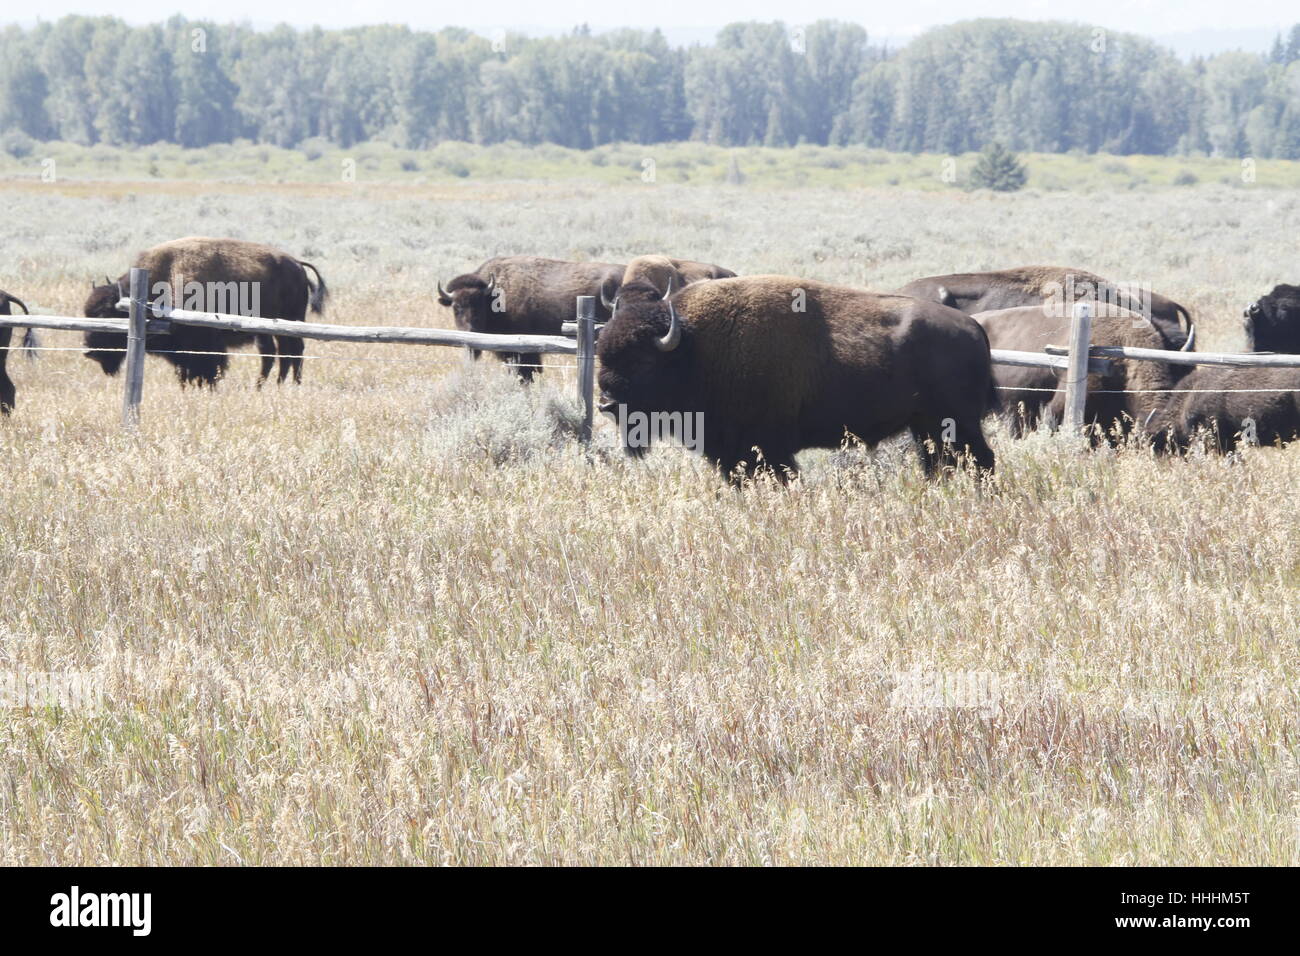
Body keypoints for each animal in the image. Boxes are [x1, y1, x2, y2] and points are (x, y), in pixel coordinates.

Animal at [83, 237, 327, 387]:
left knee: (293, 351)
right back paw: (268, 386)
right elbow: (185, 372)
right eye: (88, 314)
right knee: (277, 354)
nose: (89, 352)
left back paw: (288, 385)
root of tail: (297, 264)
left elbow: (209, 369)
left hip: (290, 321)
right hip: (268, 330)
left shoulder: (207, 345)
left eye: (107, 315)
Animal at [596, 276, 997, 482]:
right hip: (926, 425)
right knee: (938, 464)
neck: (693, 347)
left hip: (957, 422)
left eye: (643, 361)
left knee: (983, 460)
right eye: (602, 352)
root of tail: (972, 326)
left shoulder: (767, 448)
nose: (607, 404)